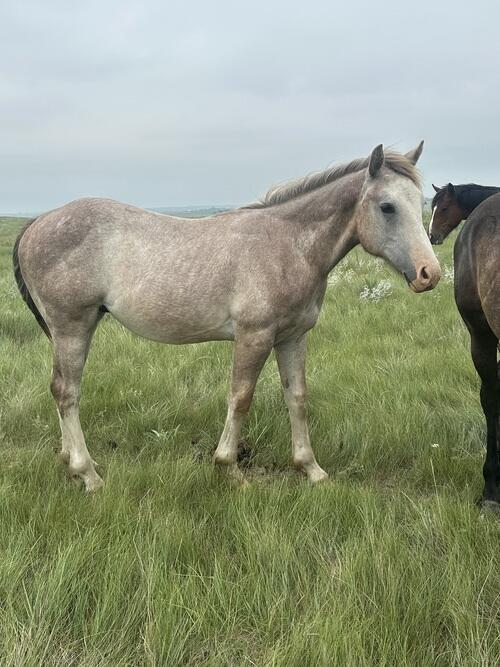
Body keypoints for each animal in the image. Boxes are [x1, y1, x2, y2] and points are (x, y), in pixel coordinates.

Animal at [13, 142, 440, 492]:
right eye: (387, 207)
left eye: (420, 202)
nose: (429, 273)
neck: (286, 246)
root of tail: (37, 223)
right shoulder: (255, 336)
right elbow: (241, 398)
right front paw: (229, 468)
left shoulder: (293, 337)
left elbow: (297, 397)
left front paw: (311, 469)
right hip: (73, 327)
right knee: (67, 393)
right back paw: (87, 474)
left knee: (60, 390)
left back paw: (69, 460)